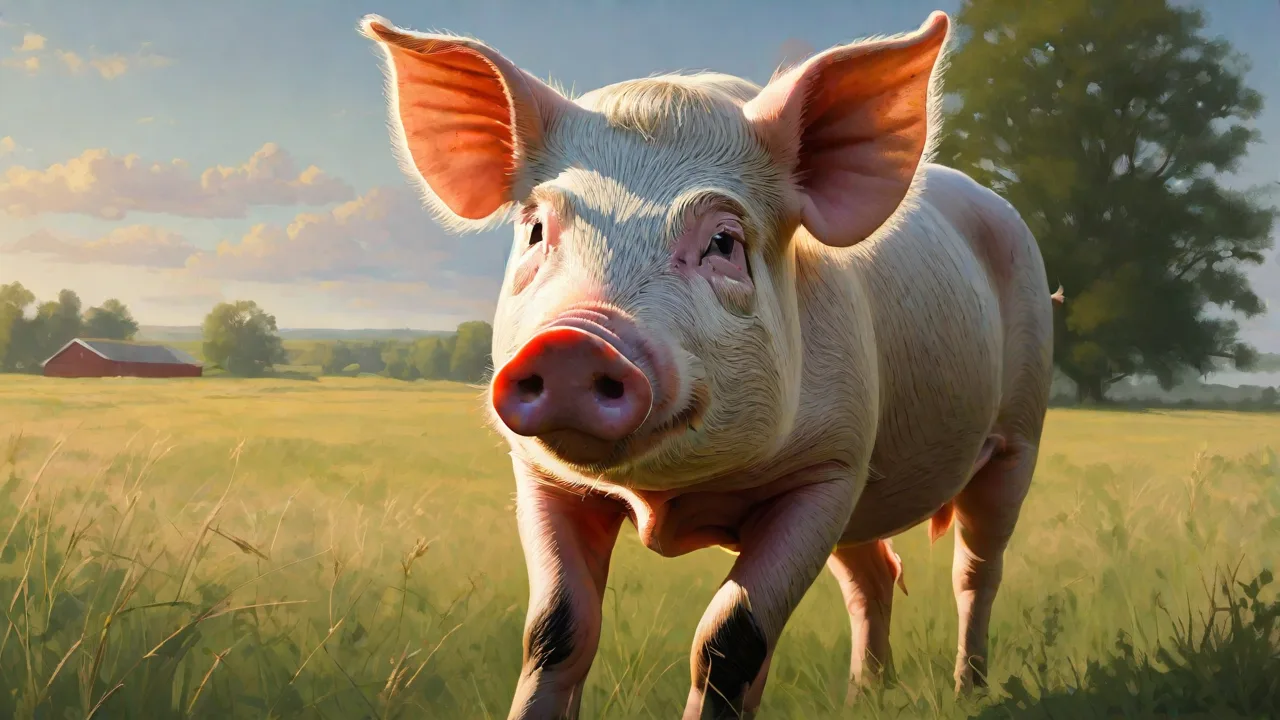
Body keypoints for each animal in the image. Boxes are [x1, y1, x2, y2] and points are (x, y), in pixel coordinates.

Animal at [361, 10, 1053, 719]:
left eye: (723, 242)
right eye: (536, 231)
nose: (575, 340)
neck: (665, 500)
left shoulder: (829, 467)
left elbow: (730, 637)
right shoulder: (540, 475)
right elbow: (555, 630)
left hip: (1019, 432)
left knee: (975, 570)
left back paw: (969, 688)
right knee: (874, 576)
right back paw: (865, 695)